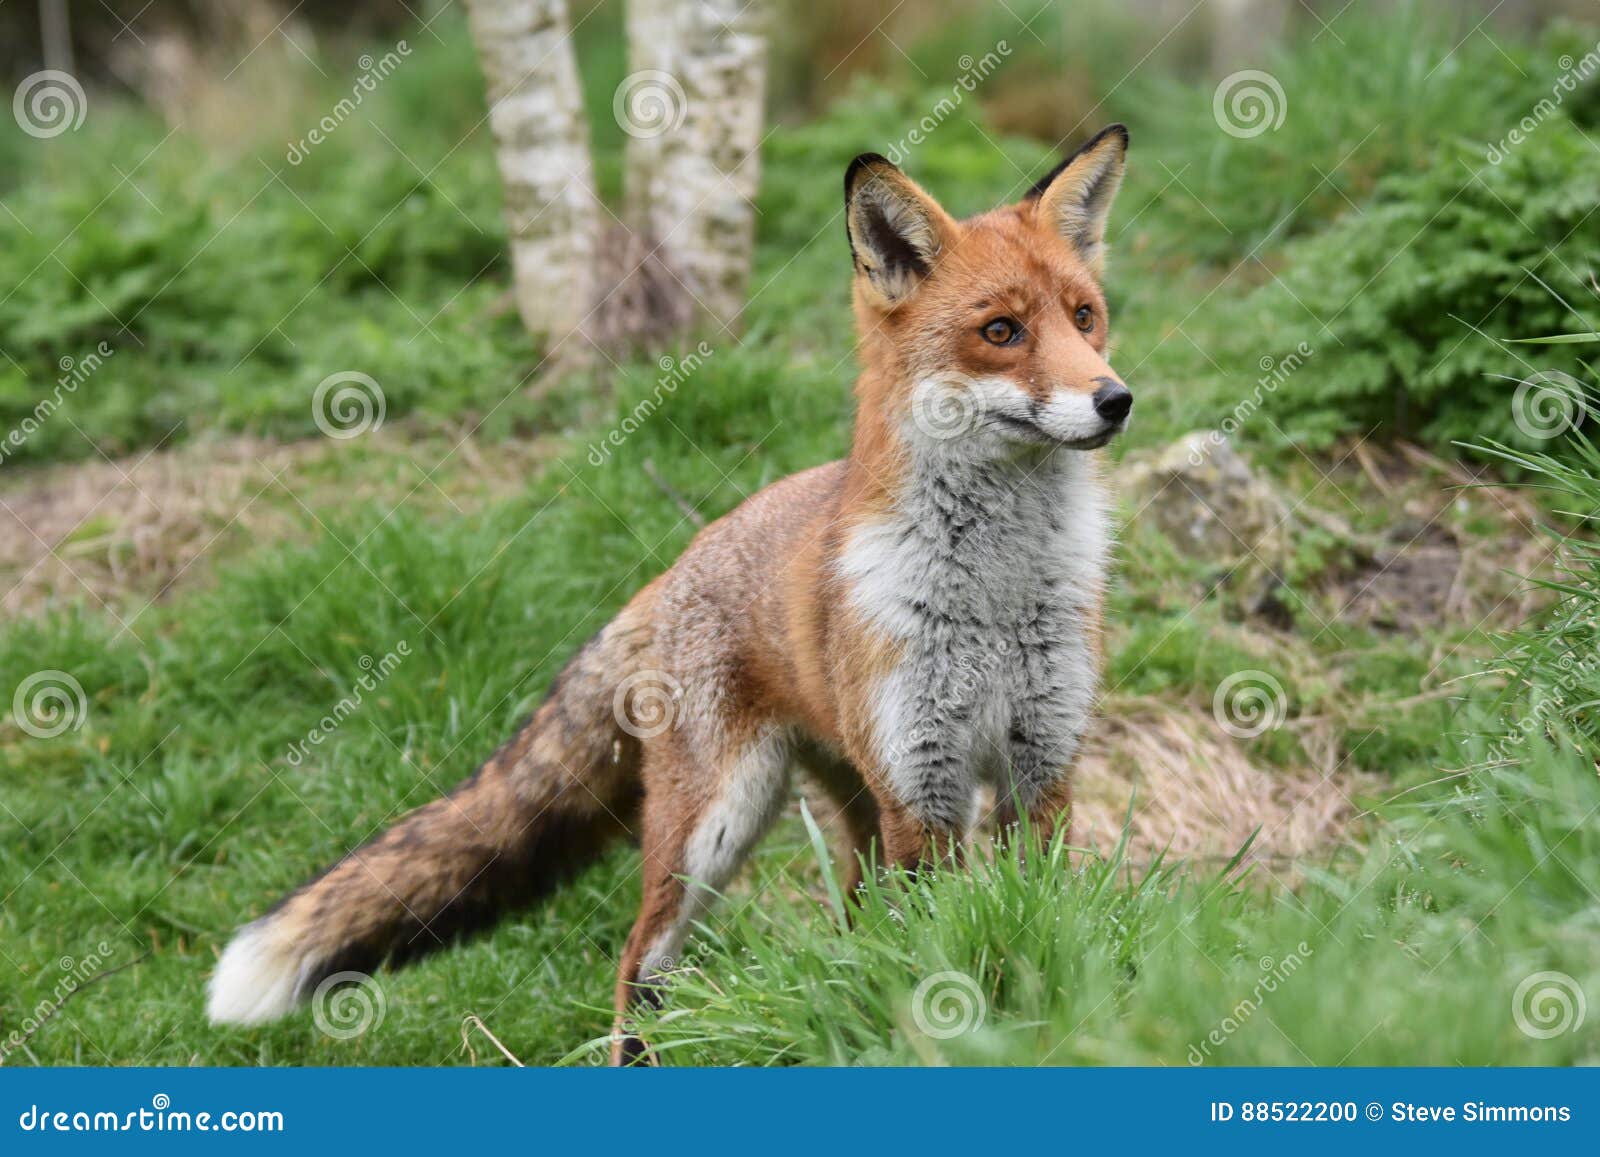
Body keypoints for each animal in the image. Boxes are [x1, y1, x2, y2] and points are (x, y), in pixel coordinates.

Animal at [207, 124, 1135, 1064]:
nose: (1115, 398)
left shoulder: (1041, 764)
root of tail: (668, 569)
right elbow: (941, 940)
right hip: (714, 826)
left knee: (849, 918)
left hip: (846, 805)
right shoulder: (923, 786)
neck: (994, 594)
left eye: (1084, 317)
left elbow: (1035, 917)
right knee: (638, 961)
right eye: (1001, 330)